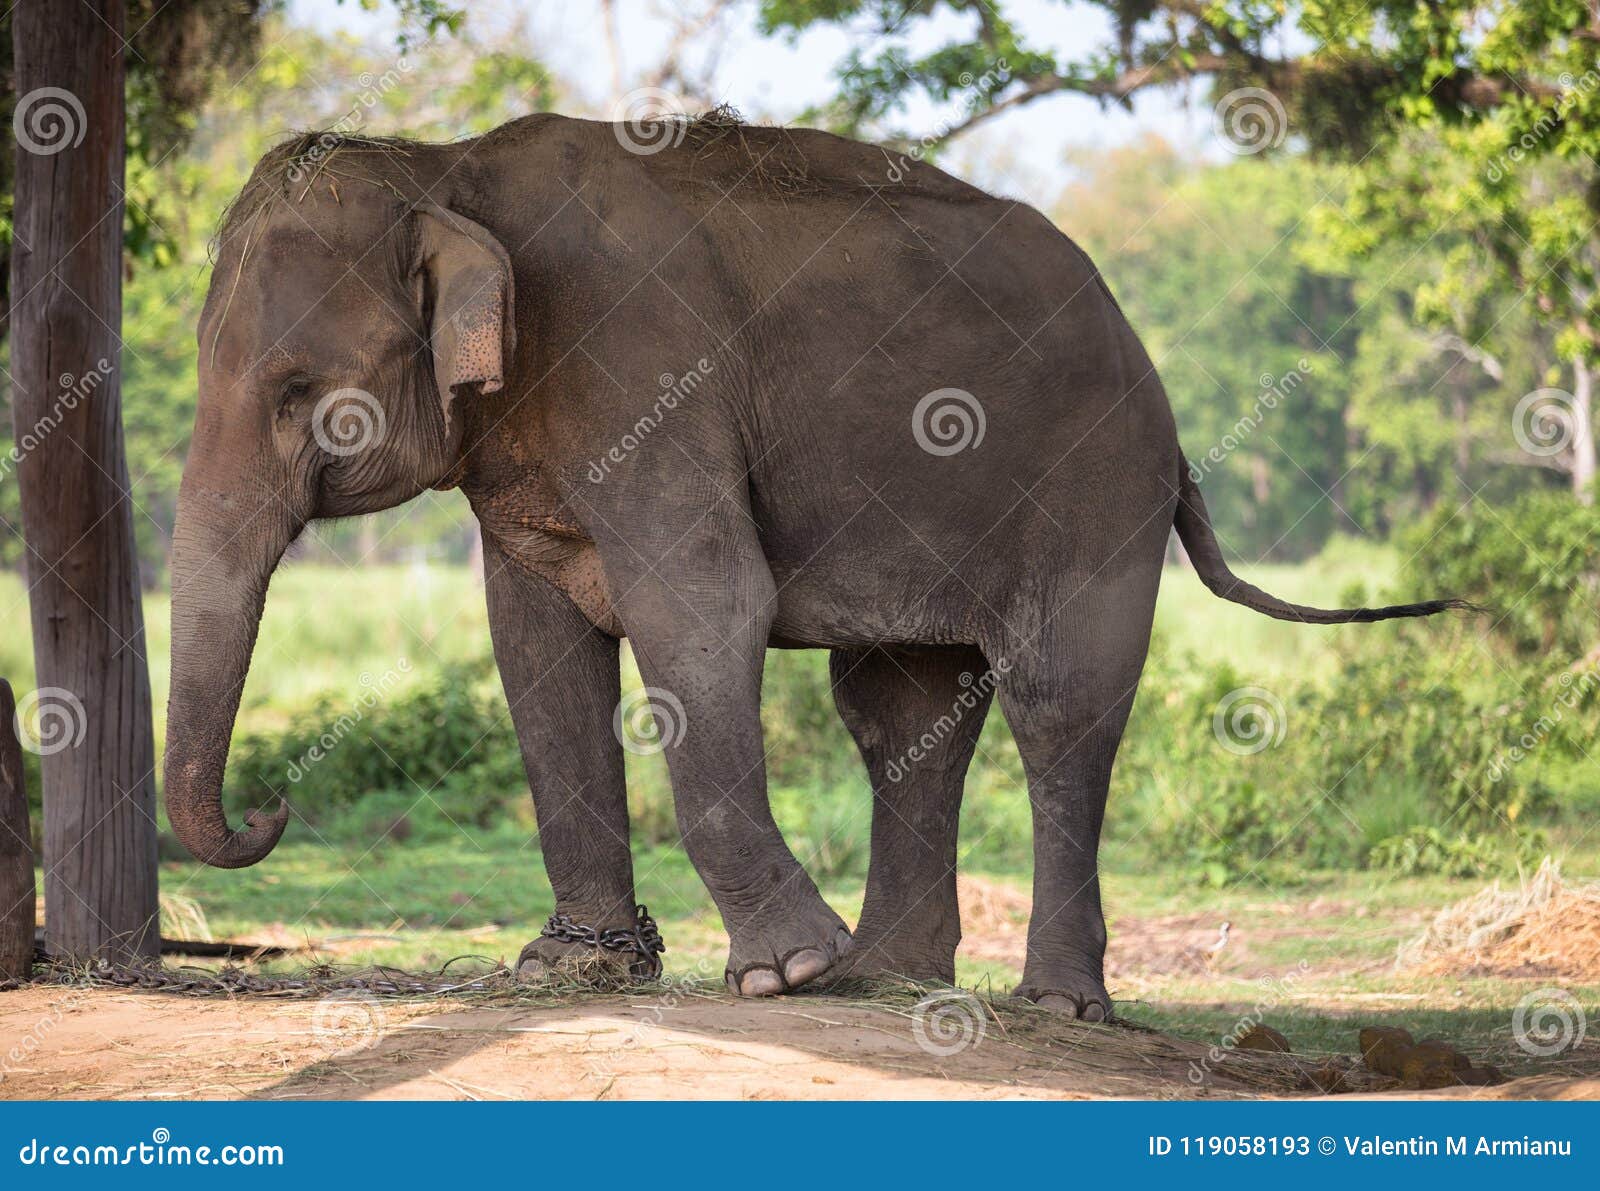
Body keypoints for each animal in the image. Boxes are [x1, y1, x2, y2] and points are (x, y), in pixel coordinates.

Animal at [166, 111, 1464, 1018]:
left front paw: (782, 974)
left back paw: (1045, 1000)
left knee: (1059, 705)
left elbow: (701, 605)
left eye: (298, 395)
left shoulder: (644, 366)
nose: (275, 805)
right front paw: (571, 972)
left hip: (1095, 488)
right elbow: (535, 646)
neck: (445, 169)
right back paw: (885, 977)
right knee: (900, 711)